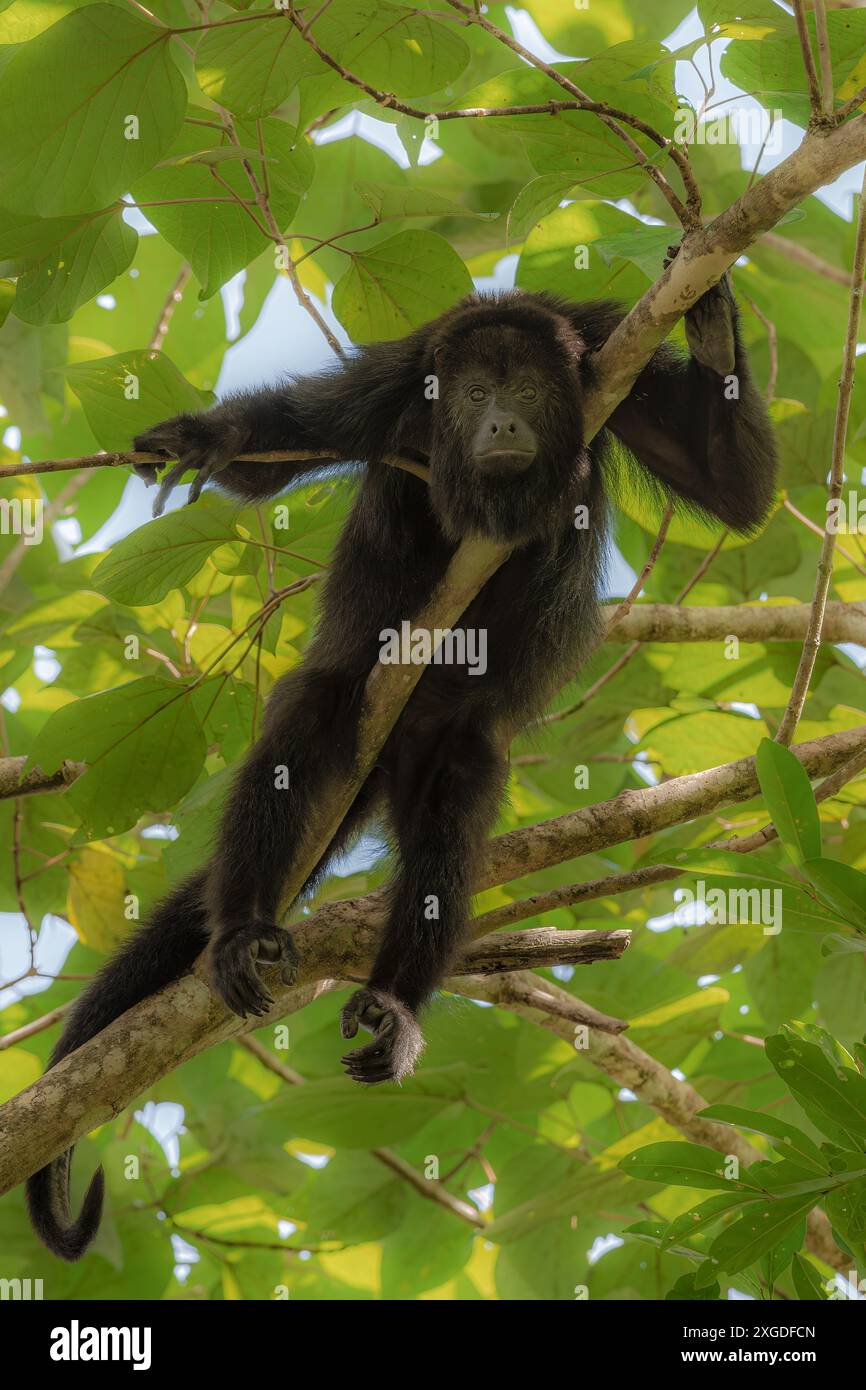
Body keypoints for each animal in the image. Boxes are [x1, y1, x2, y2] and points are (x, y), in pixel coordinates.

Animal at [25, 280, 777, 1259]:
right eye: (471, 395)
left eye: (528, 391)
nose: (499, 424)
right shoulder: (393, 384)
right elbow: (281, 445)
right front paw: (202, 439)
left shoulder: (616, 357)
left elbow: (732, 489)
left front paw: (716, 330)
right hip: (352, 701)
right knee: (304, 729)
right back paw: (242, 929)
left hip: (448, 739)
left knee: (445, 827)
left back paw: (397, 1004)